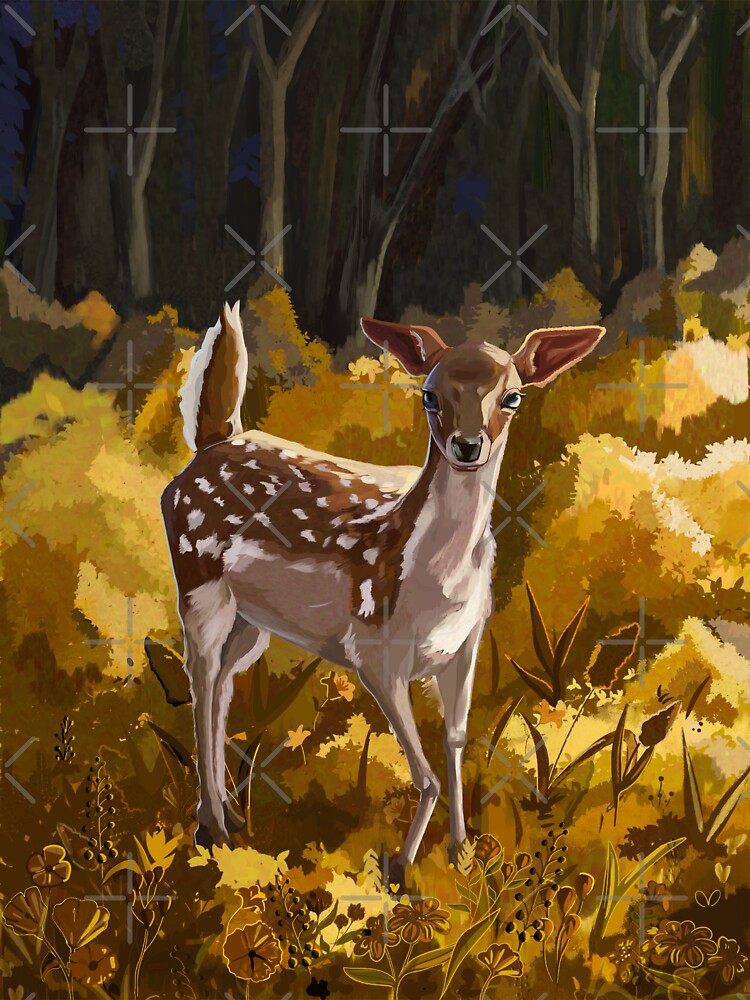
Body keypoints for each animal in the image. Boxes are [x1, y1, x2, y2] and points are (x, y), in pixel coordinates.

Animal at [161, 301, 604, 891]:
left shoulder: (465, 647)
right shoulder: (373, 650)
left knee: (221, 688)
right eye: (430, 394)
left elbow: (456, 743)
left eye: (513, 396)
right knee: (201, 680)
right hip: (198, 583)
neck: (440, 588)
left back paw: (227, 817)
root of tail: (212, 441)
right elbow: (427, 775)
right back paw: (213, 830)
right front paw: (400, 872)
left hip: (251, 622)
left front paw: (463, 856)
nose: (468, 446)